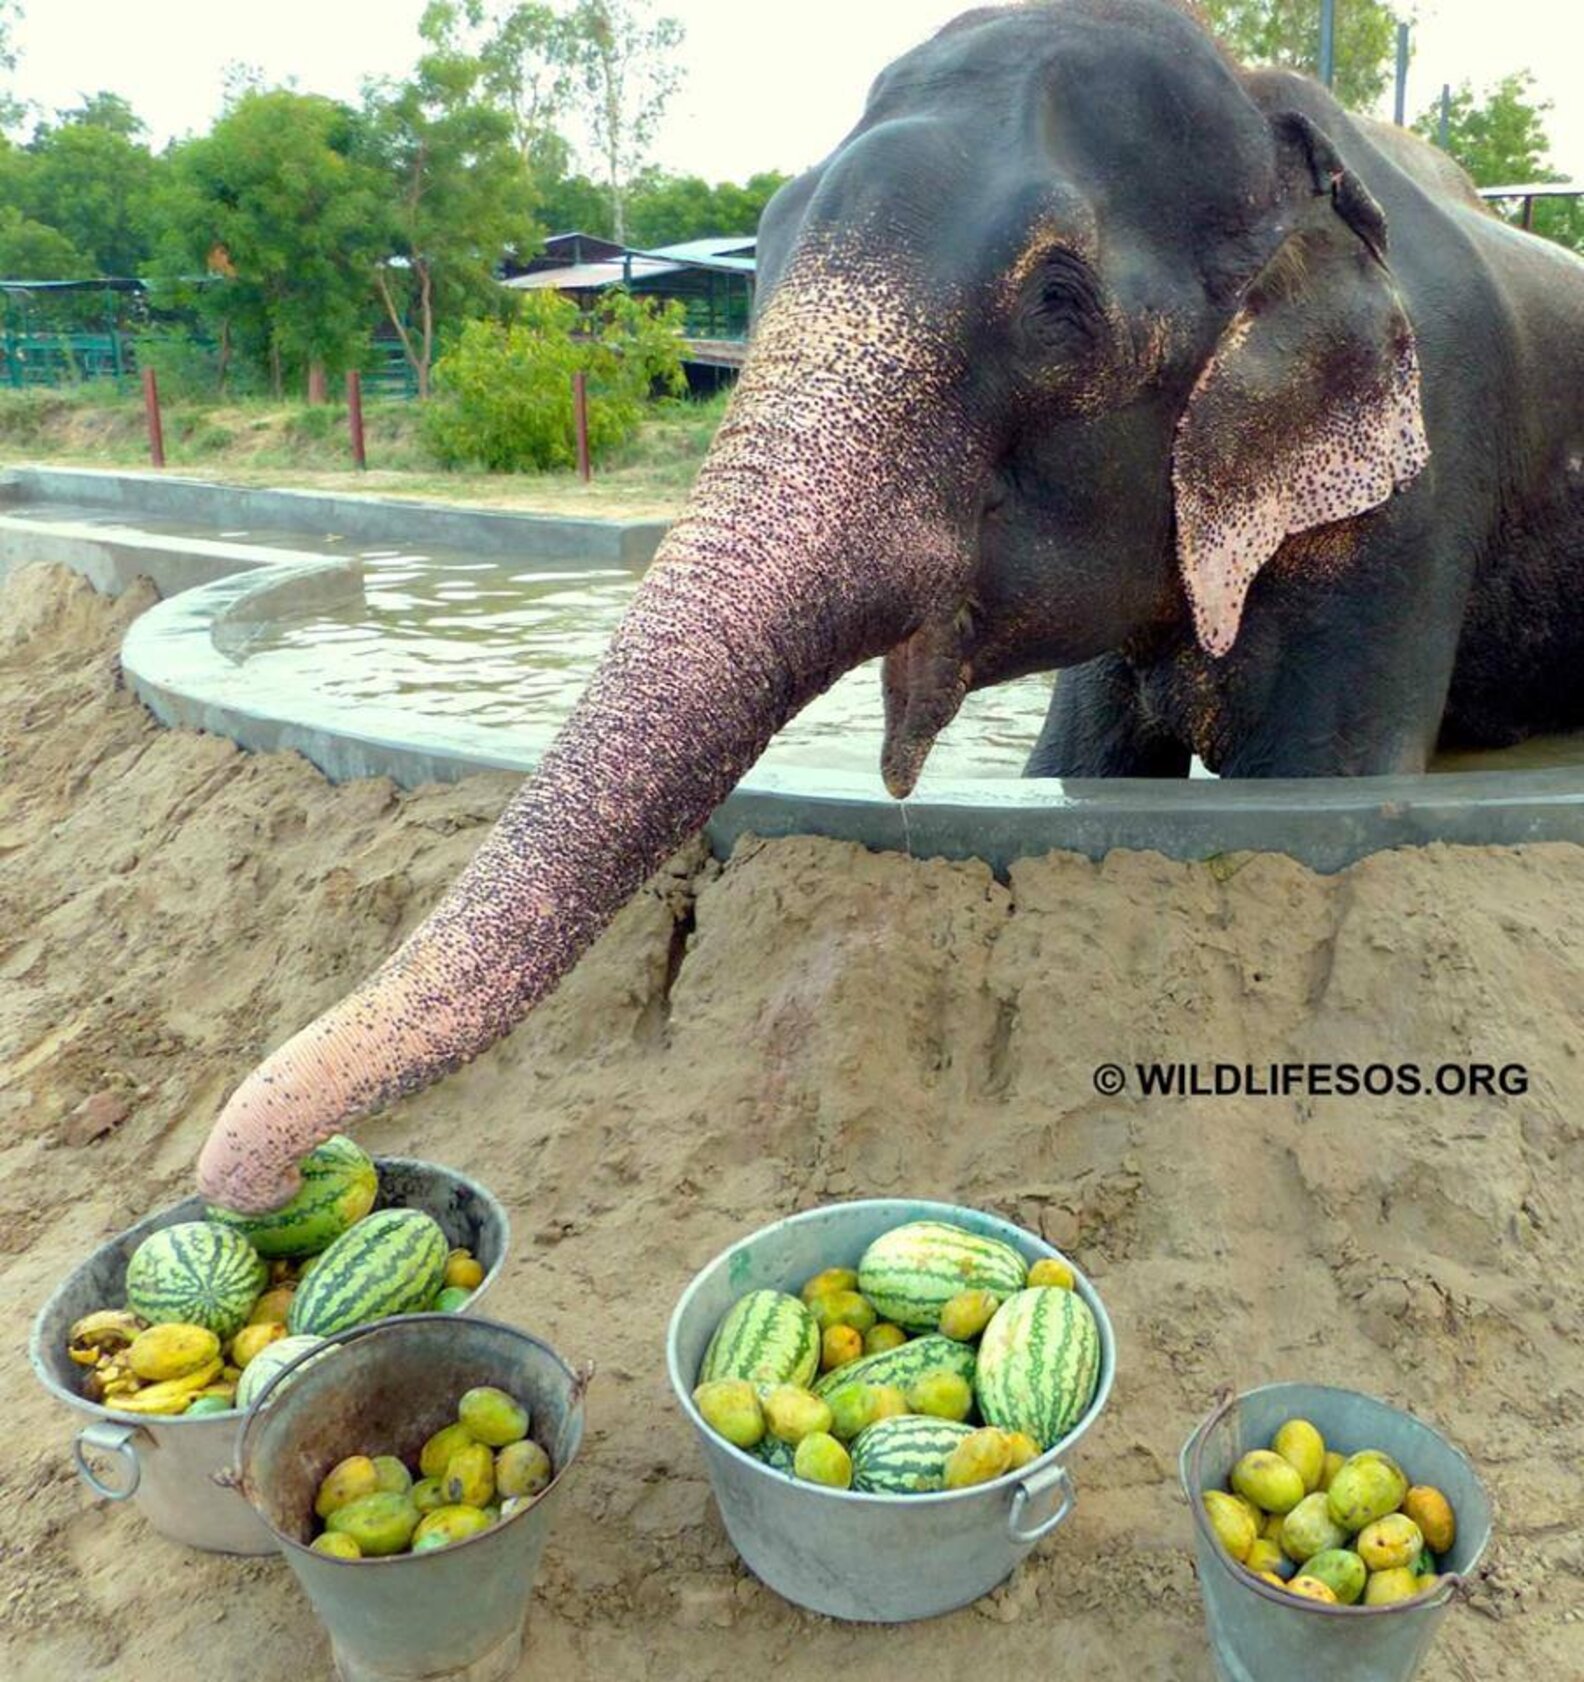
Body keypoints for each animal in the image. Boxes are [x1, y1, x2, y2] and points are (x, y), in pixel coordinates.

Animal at [197, 0, 1584, 1210]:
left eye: (1057, 303)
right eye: (760, 242)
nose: (264, 1180)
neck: (1277, 120)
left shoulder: (1413, 496)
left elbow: (1319, 783)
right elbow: (1080, 759)